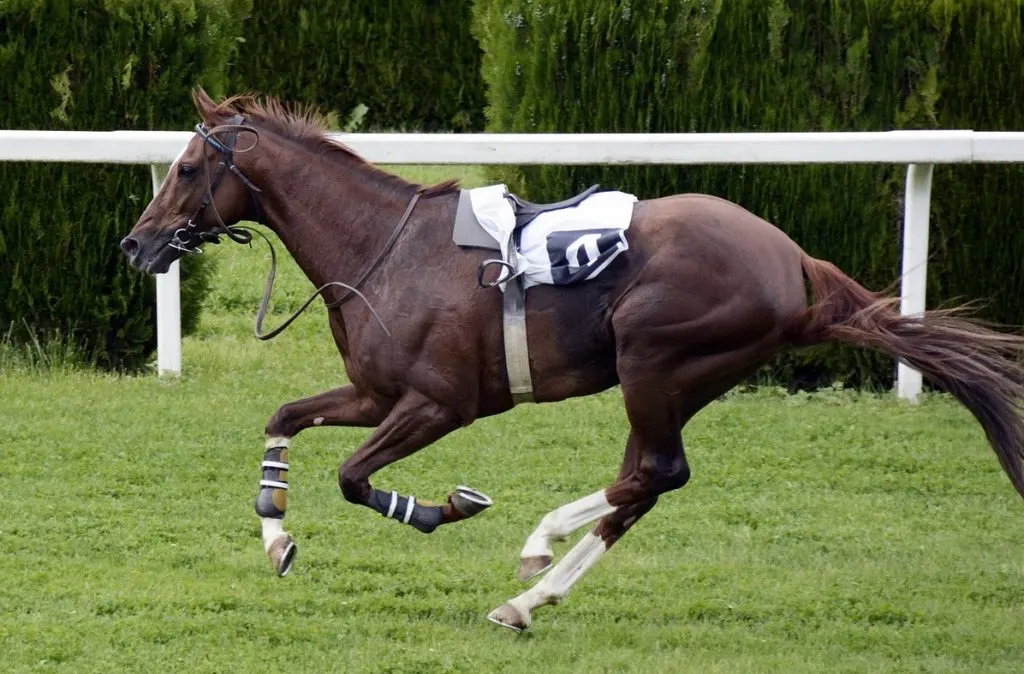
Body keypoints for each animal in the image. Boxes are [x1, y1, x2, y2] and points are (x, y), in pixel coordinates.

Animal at [121, 89, 1024, 632]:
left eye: (189, 169)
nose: (136, 244)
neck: (383, 248)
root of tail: (793, 260)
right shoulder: (375, 393)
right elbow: (283, 420)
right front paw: (275, 538)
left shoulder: (439, 403)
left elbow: (352, 475)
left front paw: (444, 507)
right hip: (674, 378)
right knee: (646, 483)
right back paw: (529, 597)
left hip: (656, 360)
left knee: (653, 473)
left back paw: (537, 548)